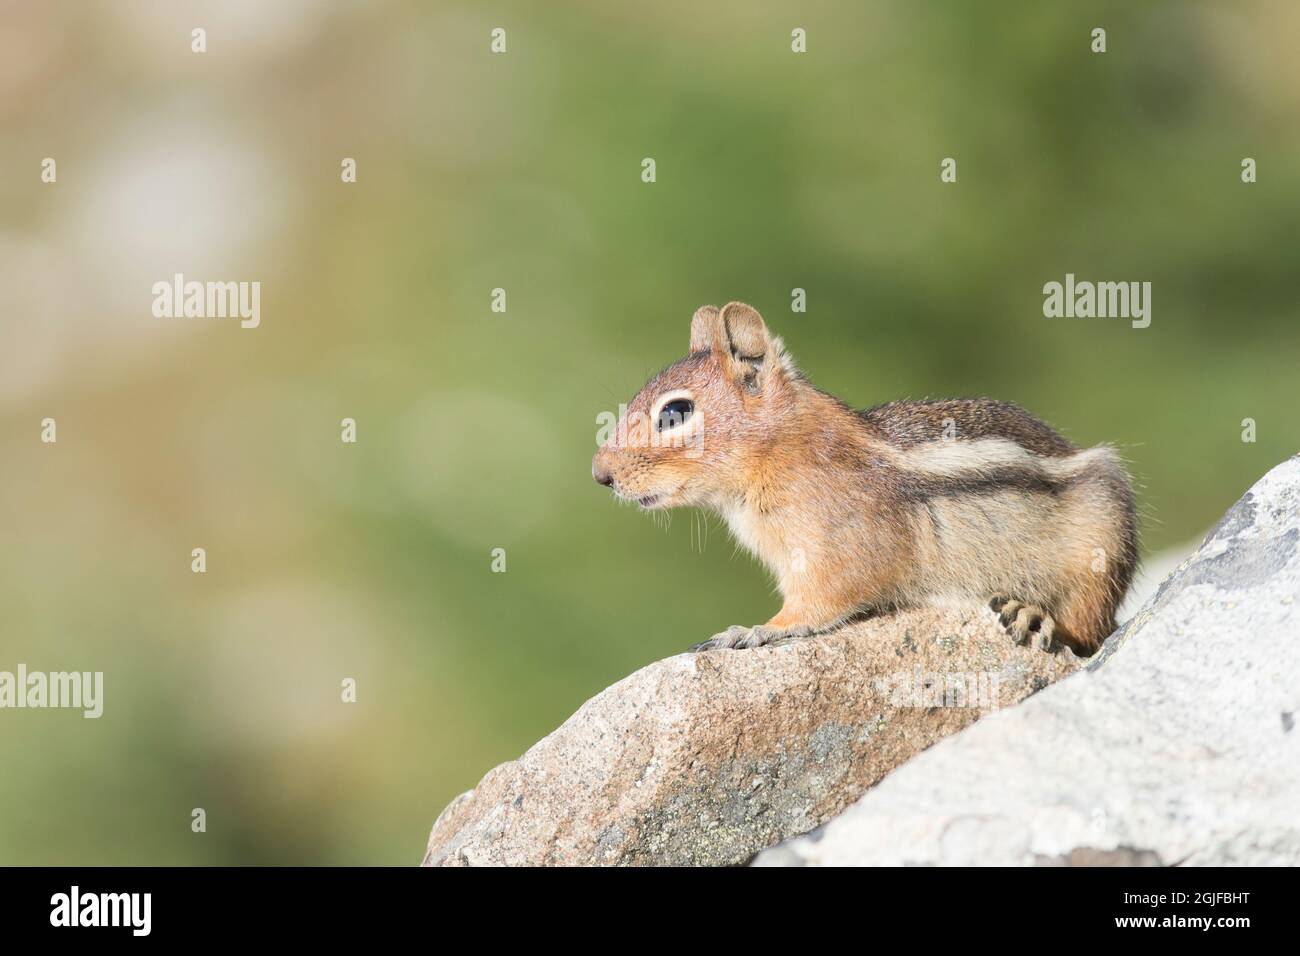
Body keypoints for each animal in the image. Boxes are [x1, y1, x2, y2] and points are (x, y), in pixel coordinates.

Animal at [592, 301, 1138, 656]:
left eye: (675, 413)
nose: (600, 474)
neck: (782, 451)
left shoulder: (832, 555)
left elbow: (817, 605)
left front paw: (756, 629)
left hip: (1100, 548)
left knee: (1089, 631)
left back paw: (1036, 616)